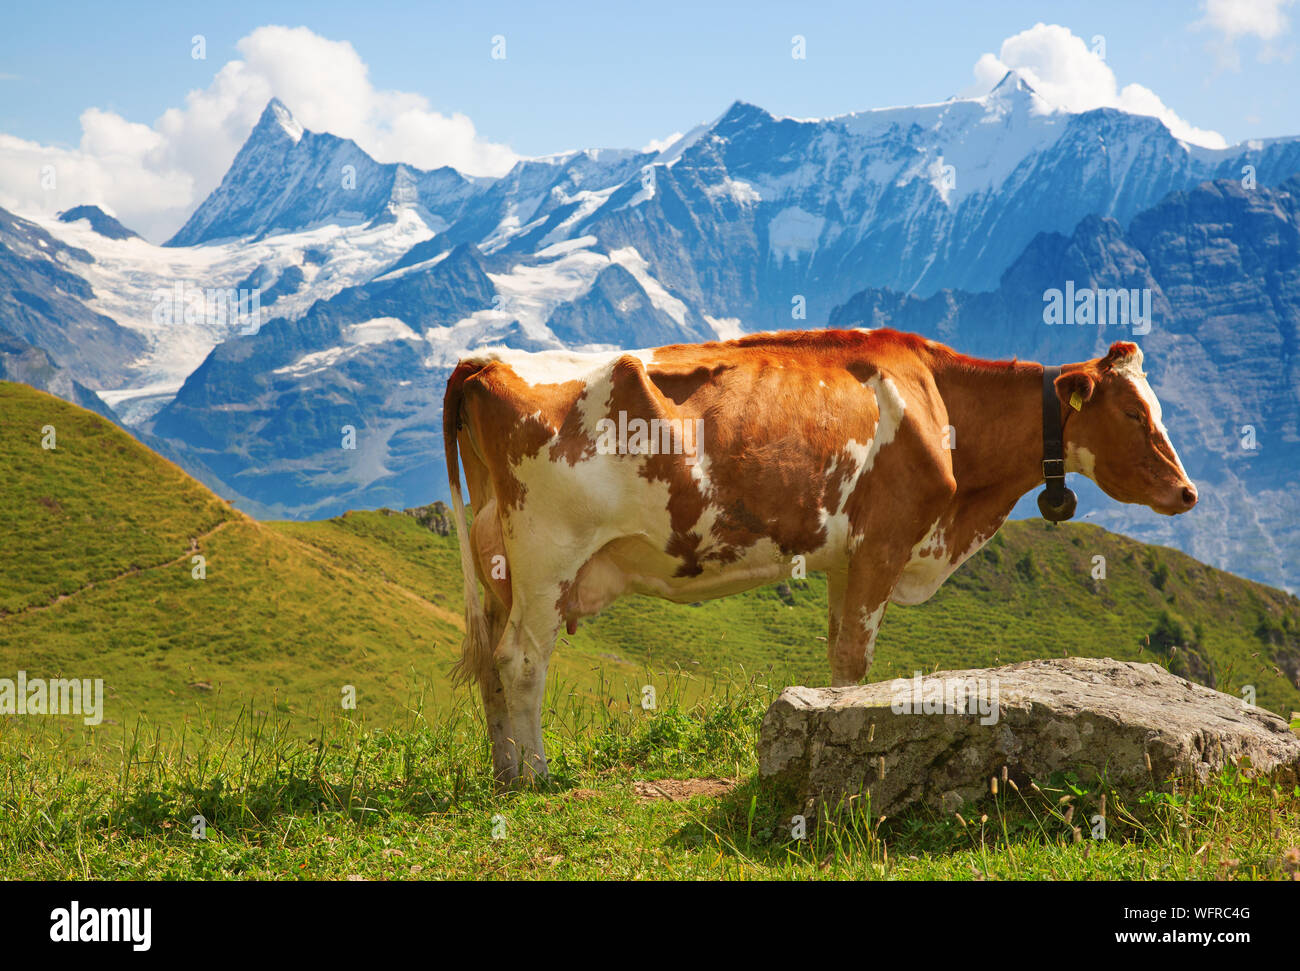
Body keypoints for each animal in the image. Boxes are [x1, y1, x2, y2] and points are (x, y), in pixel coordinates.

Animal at [442, 329, 1197, 785]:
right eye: (1135, 414)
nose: (1187, 491)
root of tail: (486, 360)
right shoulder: (883, 546)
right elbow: (857, 663)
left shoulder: (845, 559)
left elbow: (839, 662)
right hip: (548, 554)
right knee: (521, 661)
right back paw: (536, 776)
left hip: (499, 562)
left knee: (491, 665)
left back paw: (503, 772)